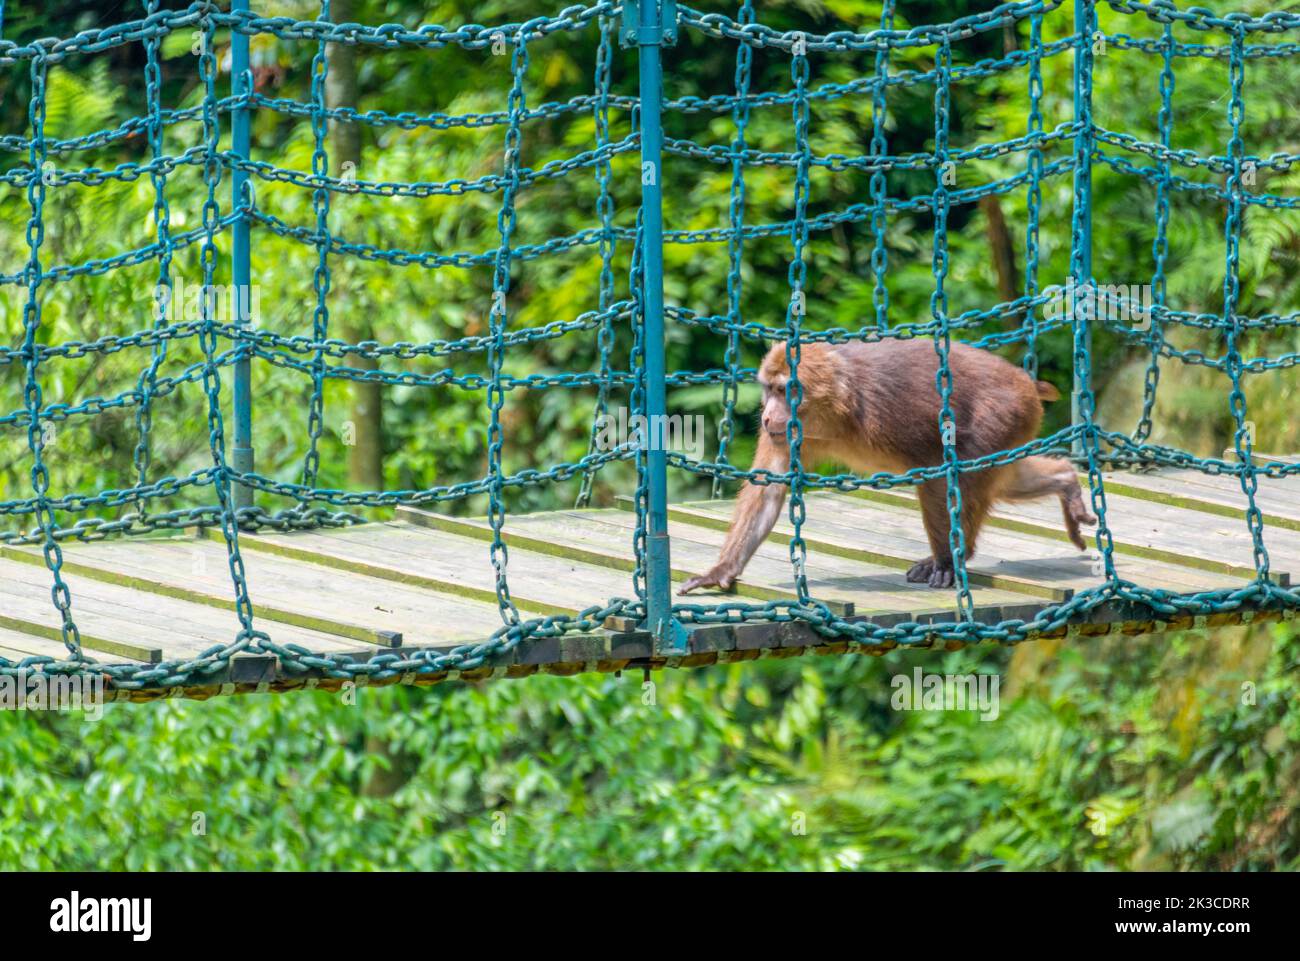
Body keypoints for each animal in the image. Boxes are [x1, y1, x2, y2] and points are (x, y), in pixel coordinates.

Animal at [679, 339, 1097, 593]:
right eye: (768, 390)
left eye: (786, 390)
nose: (766, 415)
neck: (832, 411)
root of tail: (1025, 383)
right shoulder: (784, 435)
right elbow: (767, 487)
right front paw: (721, 570)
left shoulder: (883, 415)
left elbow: (937, 471)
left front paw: (946, 562)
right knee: (1003, 476)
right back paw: (1067, 480)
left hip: (1004, 415)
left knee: (969, 471)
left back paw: (953, 557)